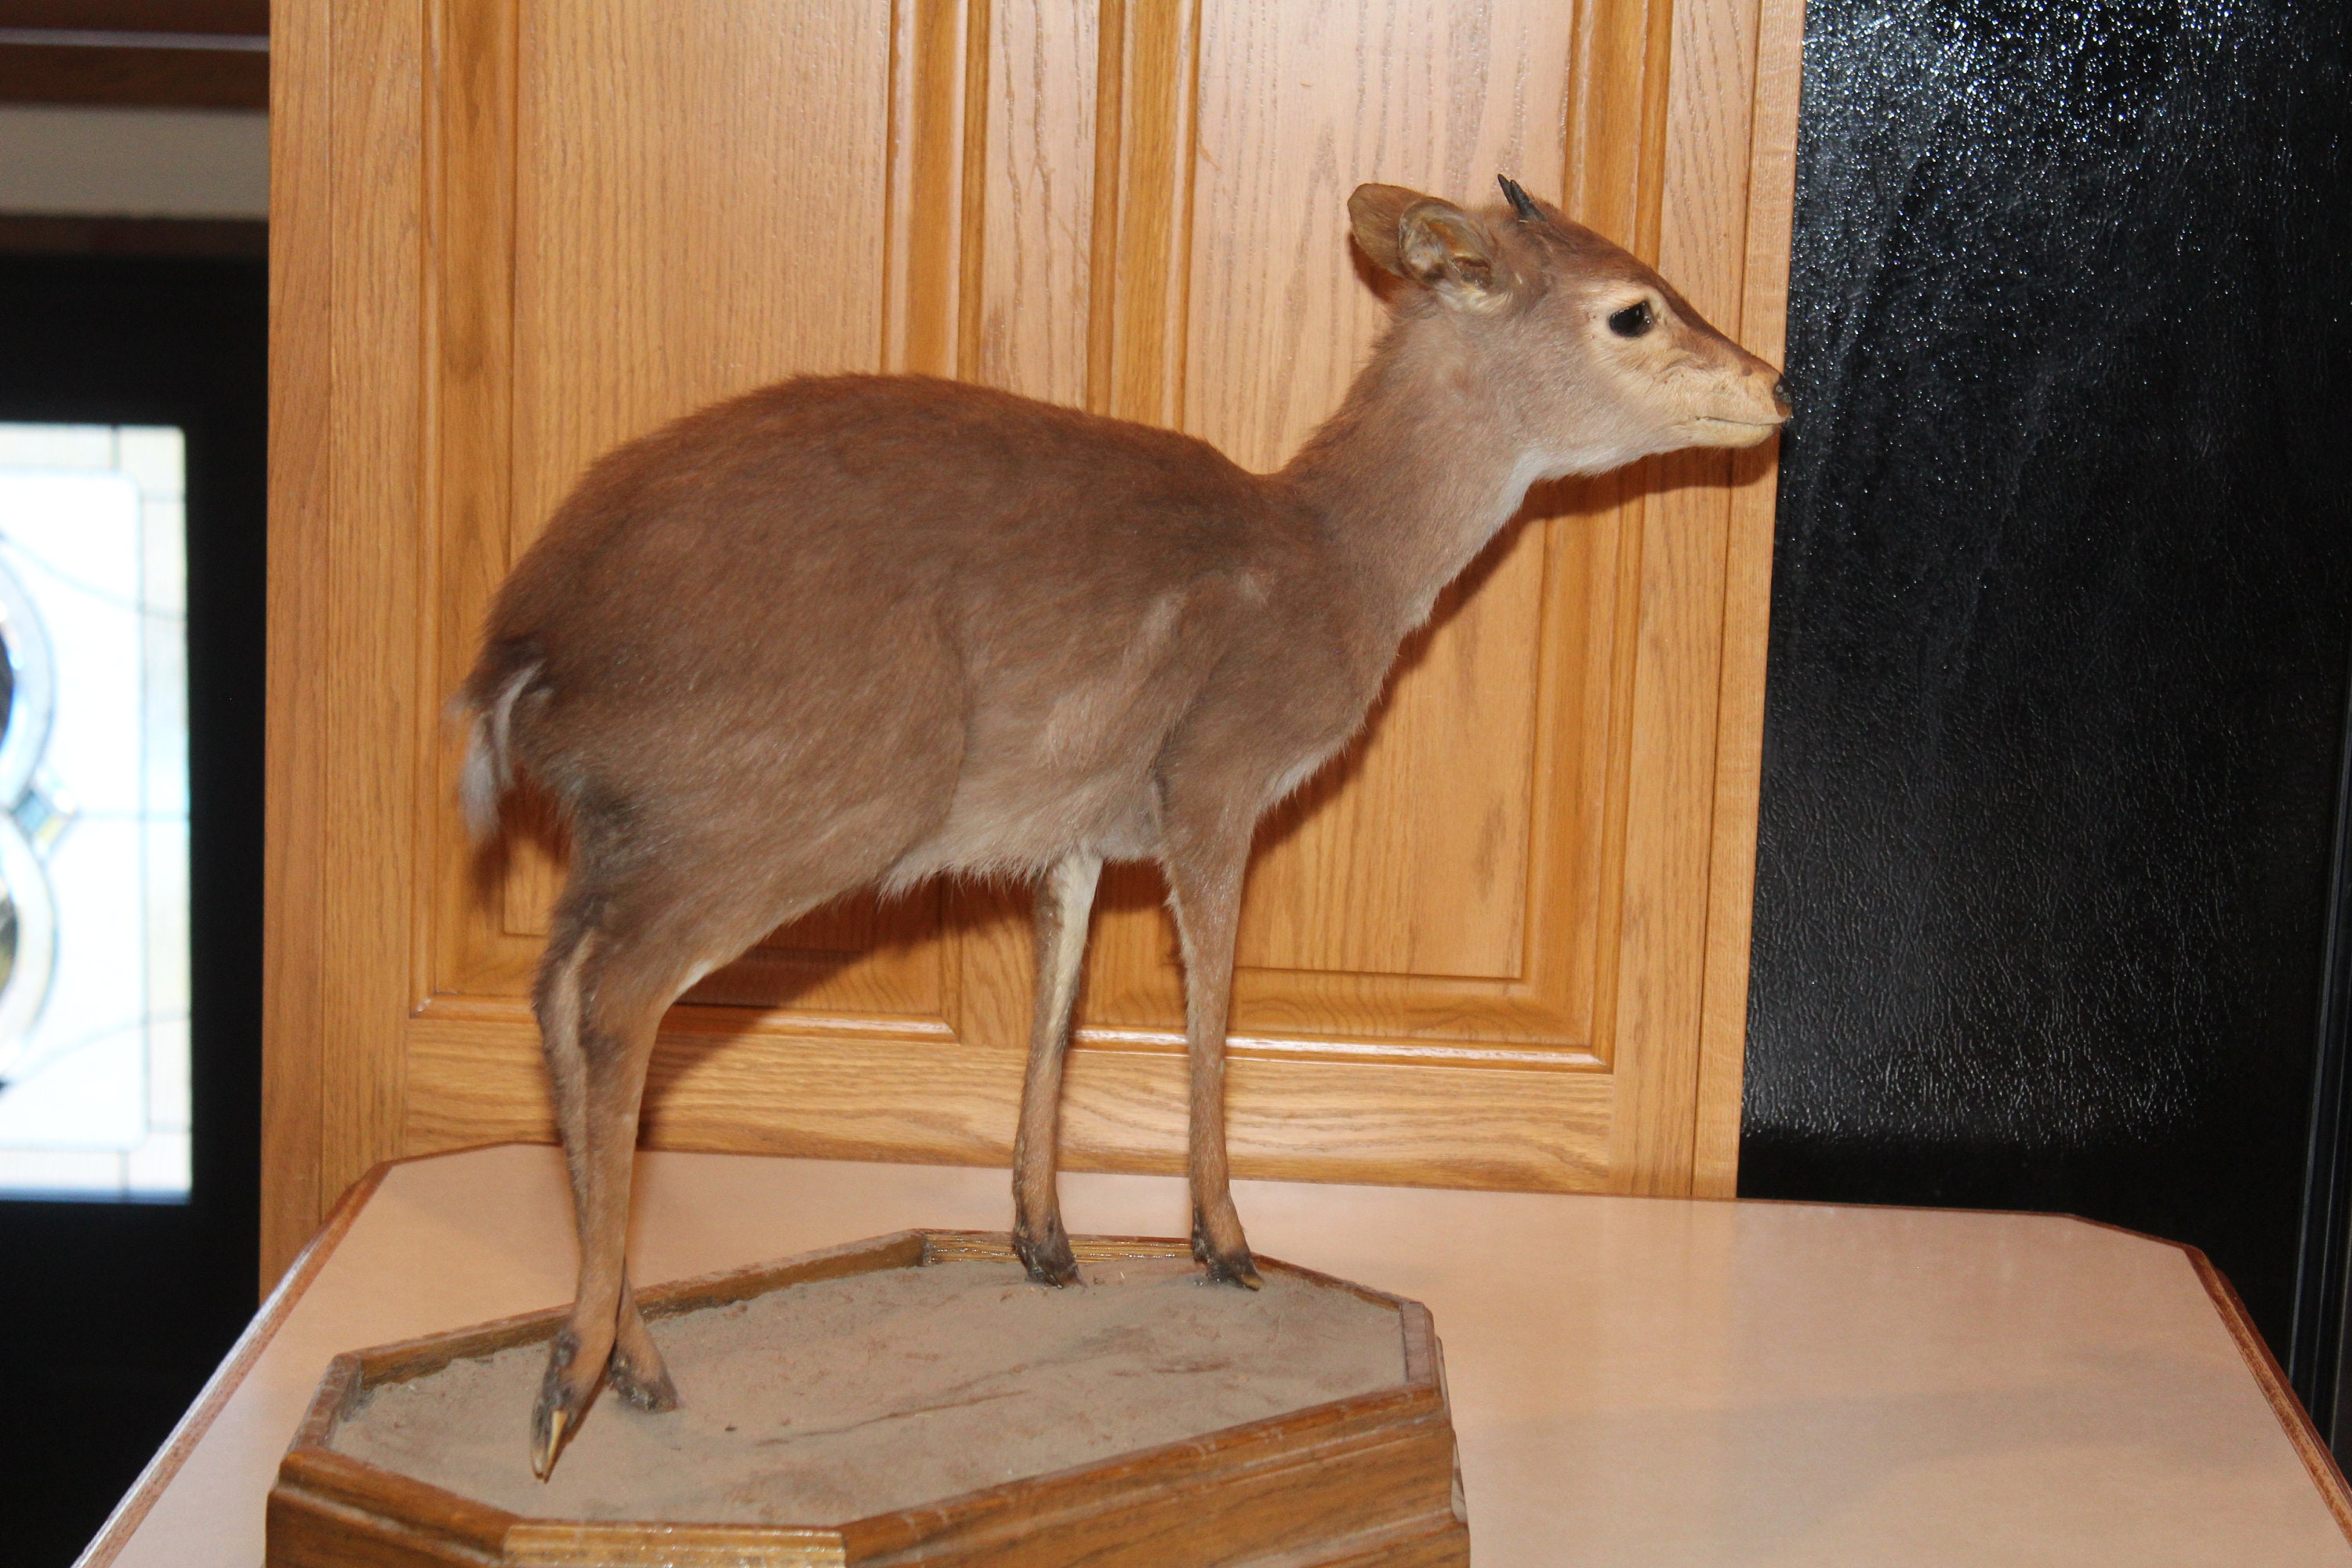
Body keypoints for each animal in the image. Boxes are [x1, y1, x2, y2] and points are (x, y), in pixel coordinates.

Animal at [459, 178, 1788, 1478]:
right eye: (1633, 309)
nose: (1776, 385)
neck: (1333, 567)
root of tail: (527, 645)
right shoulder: (1215, 779)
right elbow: (1211, 1007)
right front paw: (1225, 1243)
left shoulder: (1078, 826)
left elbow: (1061, 1000)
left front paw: (1046, 1241)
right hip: (779, 814)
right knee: (614, 1000)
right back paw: (571, 1385)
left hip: (625, 836)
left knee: (551, 989)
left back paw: (635, 1363)